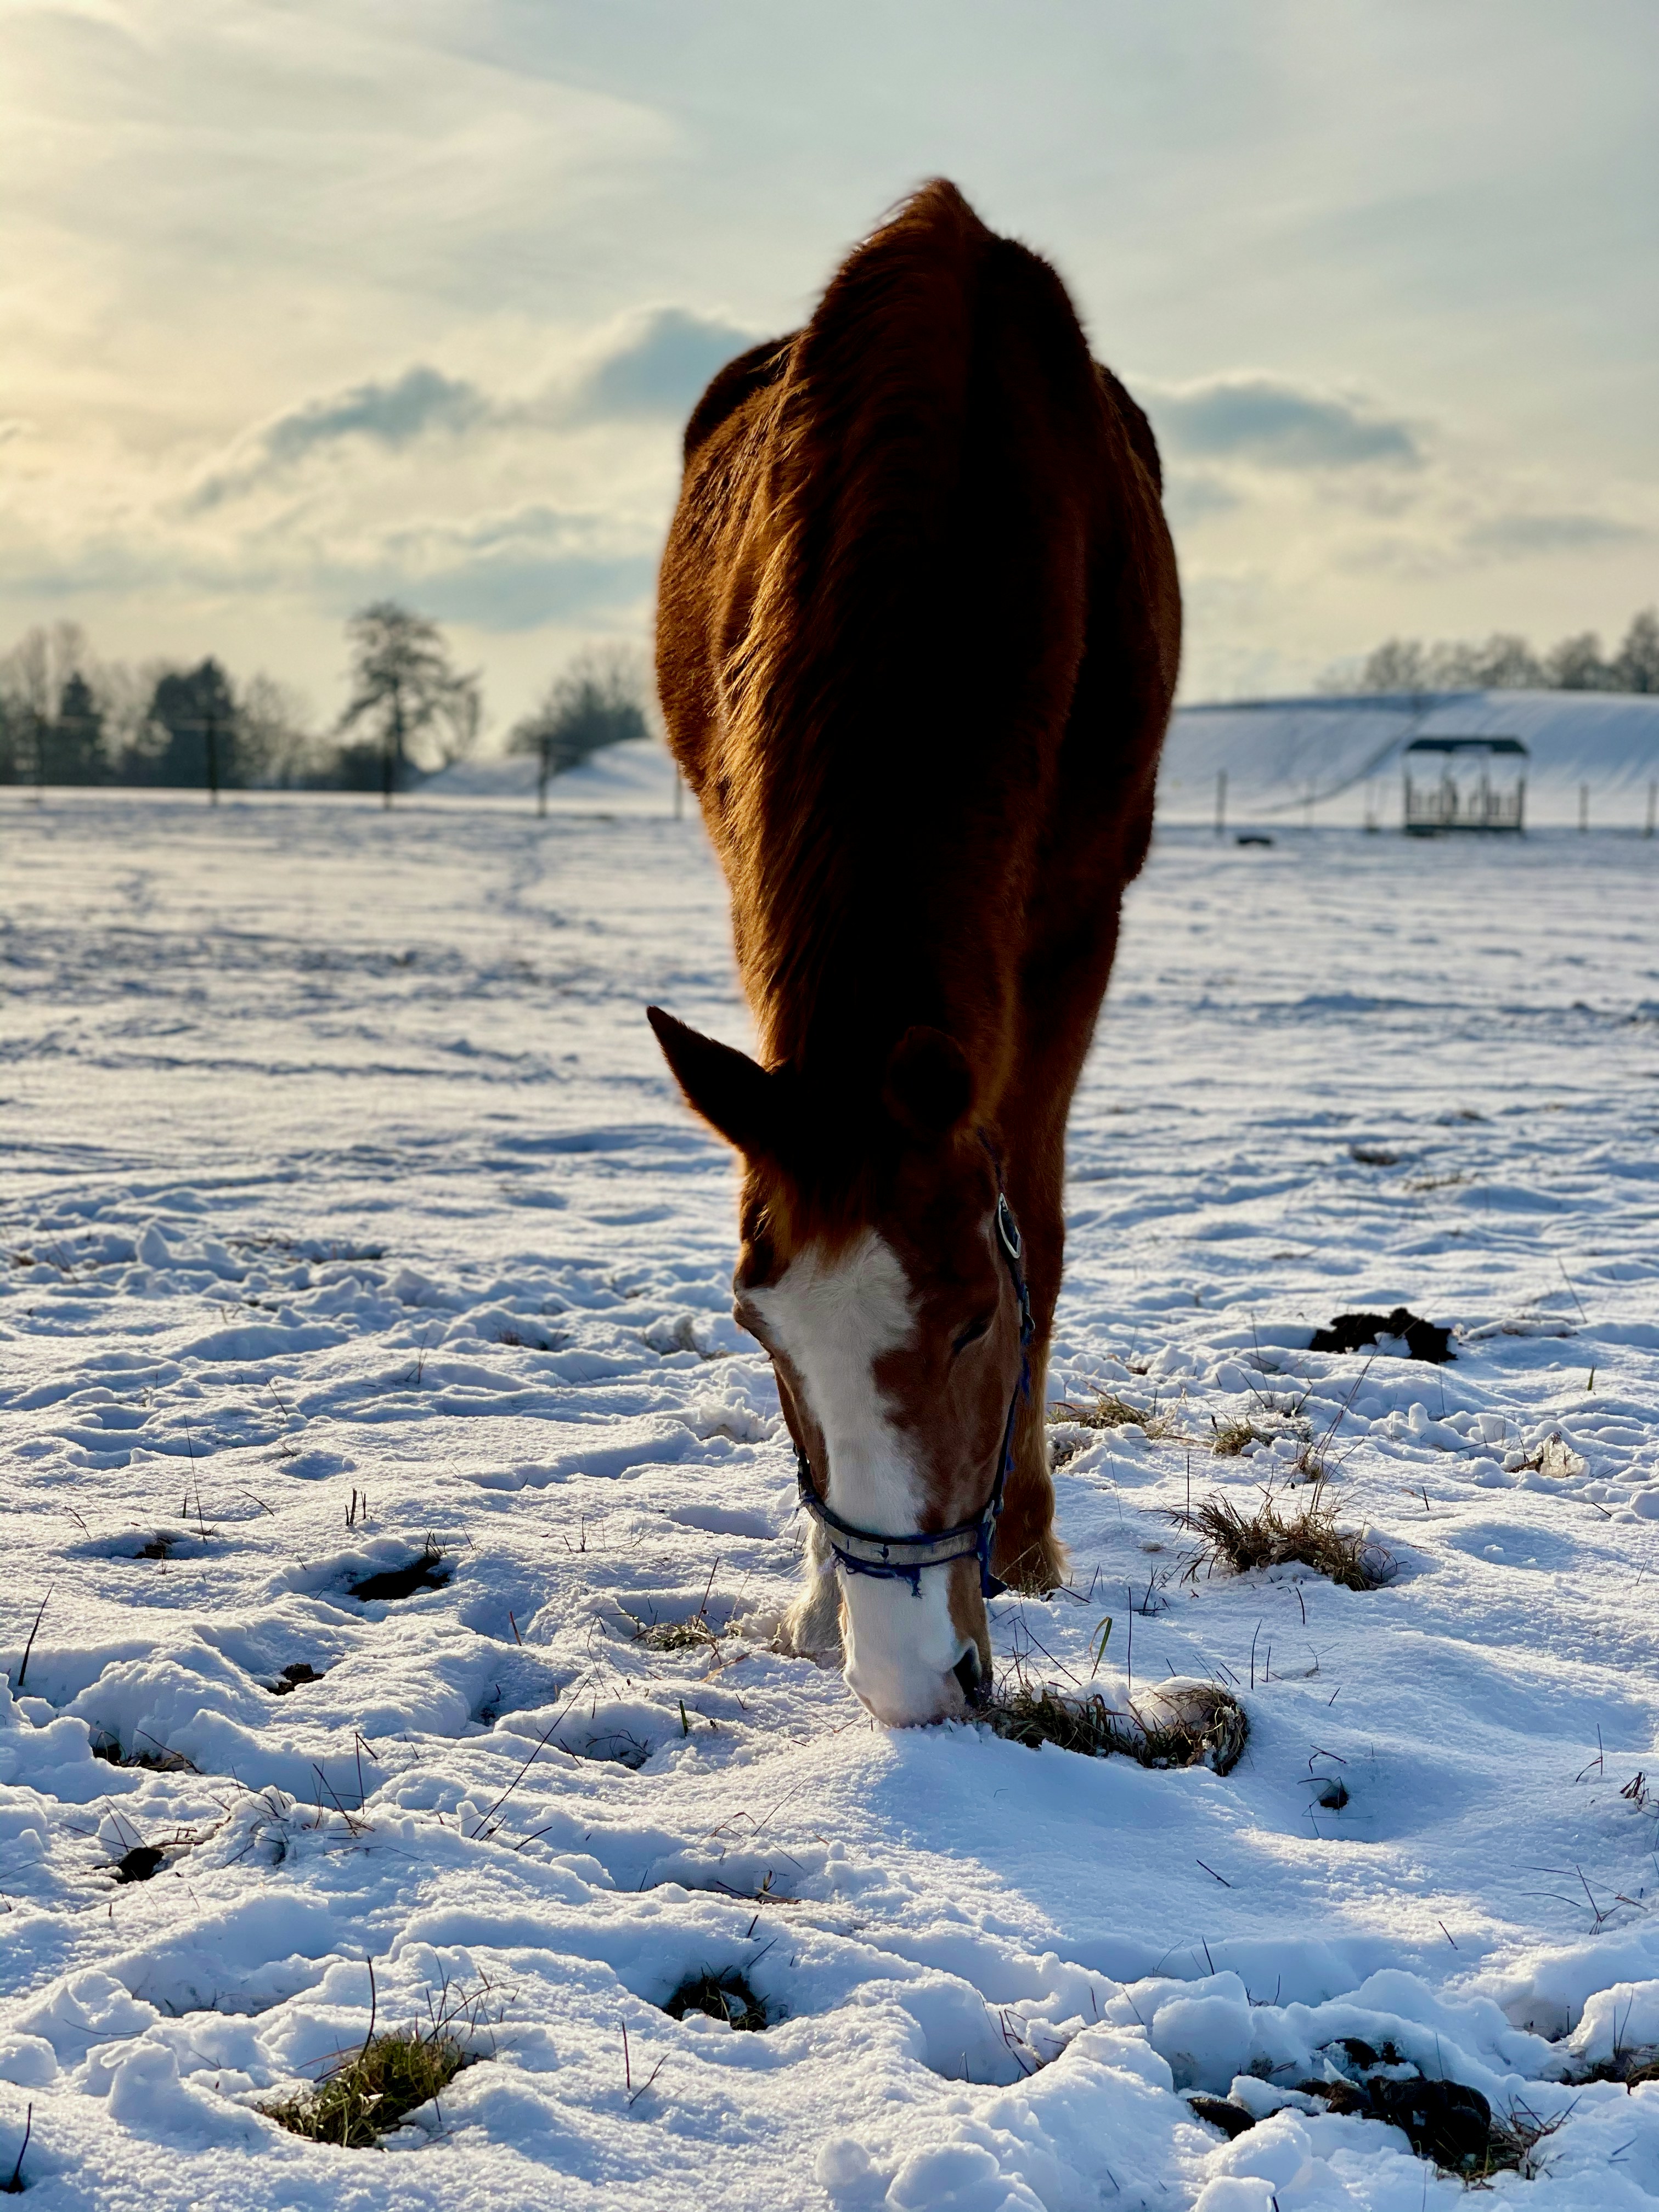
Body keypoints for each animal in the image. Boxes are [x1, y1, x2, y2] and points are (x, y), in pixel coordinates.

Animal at [649, 180, 1180, 1726]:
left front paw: (1032, 1538)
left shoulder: (1076, 928)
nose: (913, 1683)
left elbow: (1043, 1228)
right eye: (761, 1337)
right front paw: (821, 1594)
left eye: (969, 1325)